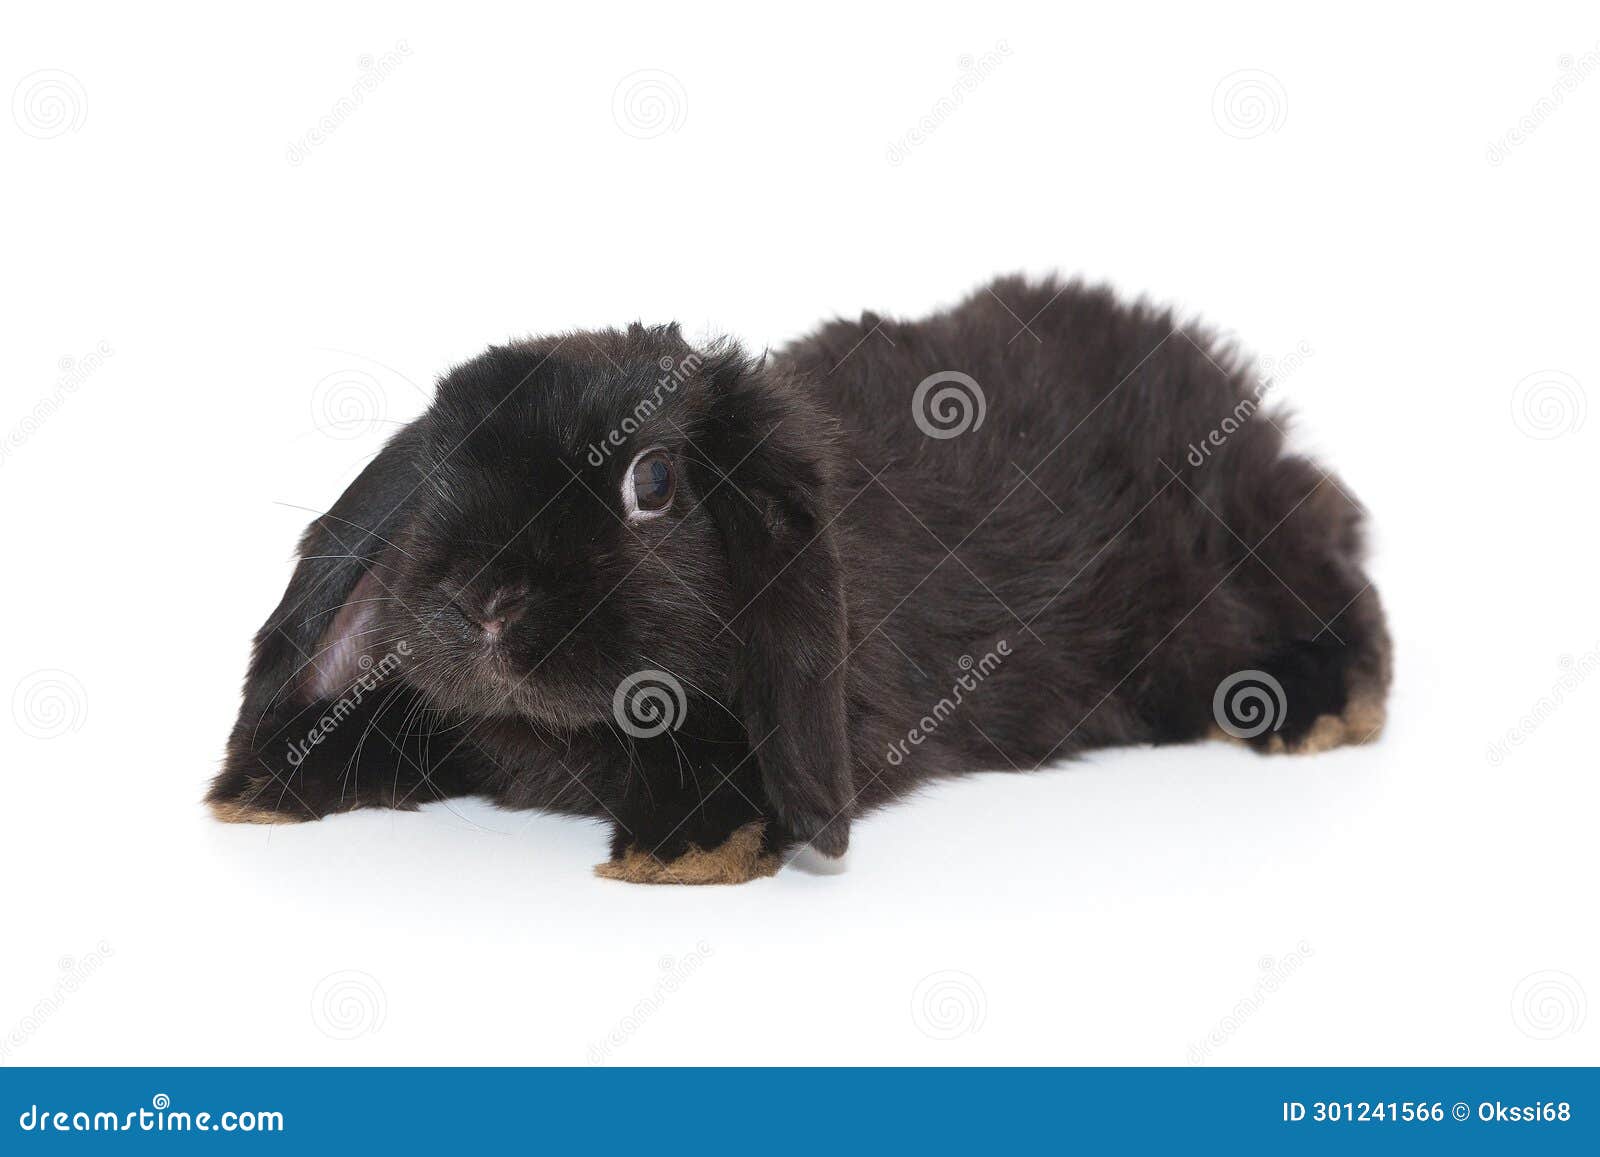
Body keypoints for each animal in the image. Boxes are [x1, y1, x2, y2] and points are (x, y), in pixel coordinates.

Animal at [208, 275, 1391, 884]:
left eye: (652, 481)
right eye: (439, 470)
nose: (475, 606)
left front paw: (685, 846)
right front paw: (266, 795)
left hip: (1238, 547)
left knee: (1333, 564)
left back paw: (1318, 703)